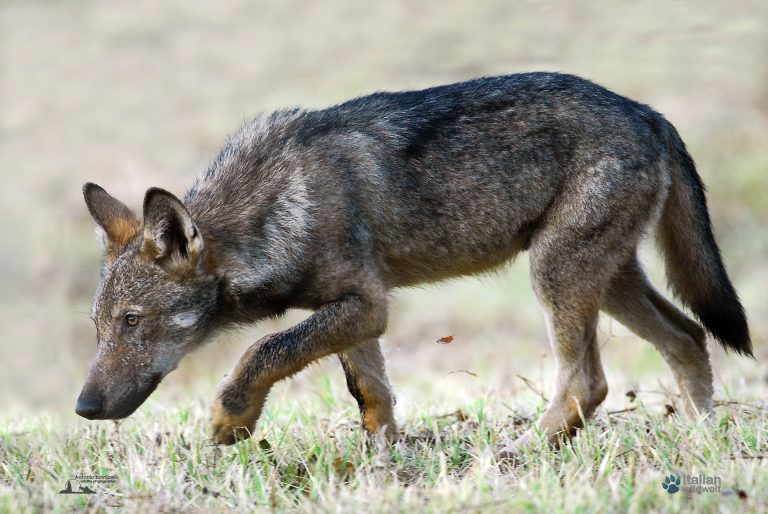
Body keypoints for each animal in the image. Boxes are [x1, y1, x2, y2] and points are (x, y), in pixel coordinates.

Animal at [77, 72, 751, 452]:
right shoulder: (356, 311)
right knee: (688, 337)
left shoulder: (367, 306)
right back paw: (704, 440)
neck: (274, 205)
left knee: (589, 383)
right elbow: (371, 395)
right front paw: (385, 462)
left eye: (133, 322)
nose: (83, 407)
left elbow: (263, 350)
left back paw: (521, 453)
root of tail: (652, 114)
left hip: (555, 276)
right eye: (99, 328)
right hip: (605, 282)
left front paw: (230, 419)